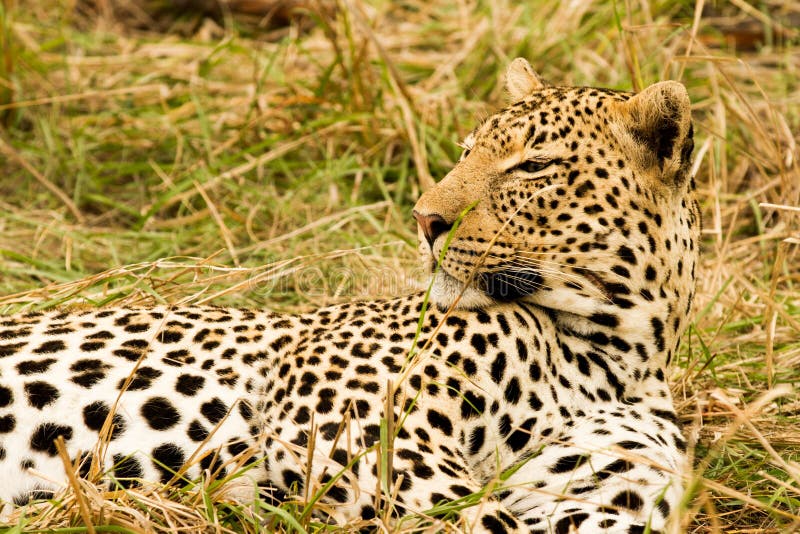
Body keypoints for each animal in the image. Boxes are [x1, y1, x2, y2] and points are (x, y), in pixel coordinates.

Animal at [0, 58, 699, 533]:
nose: (425, 219)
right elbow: (459, 511)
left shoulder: (599, 492)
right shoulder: (347, 406)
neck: (612, 348)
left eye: (534, 167)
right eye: (467, 151)